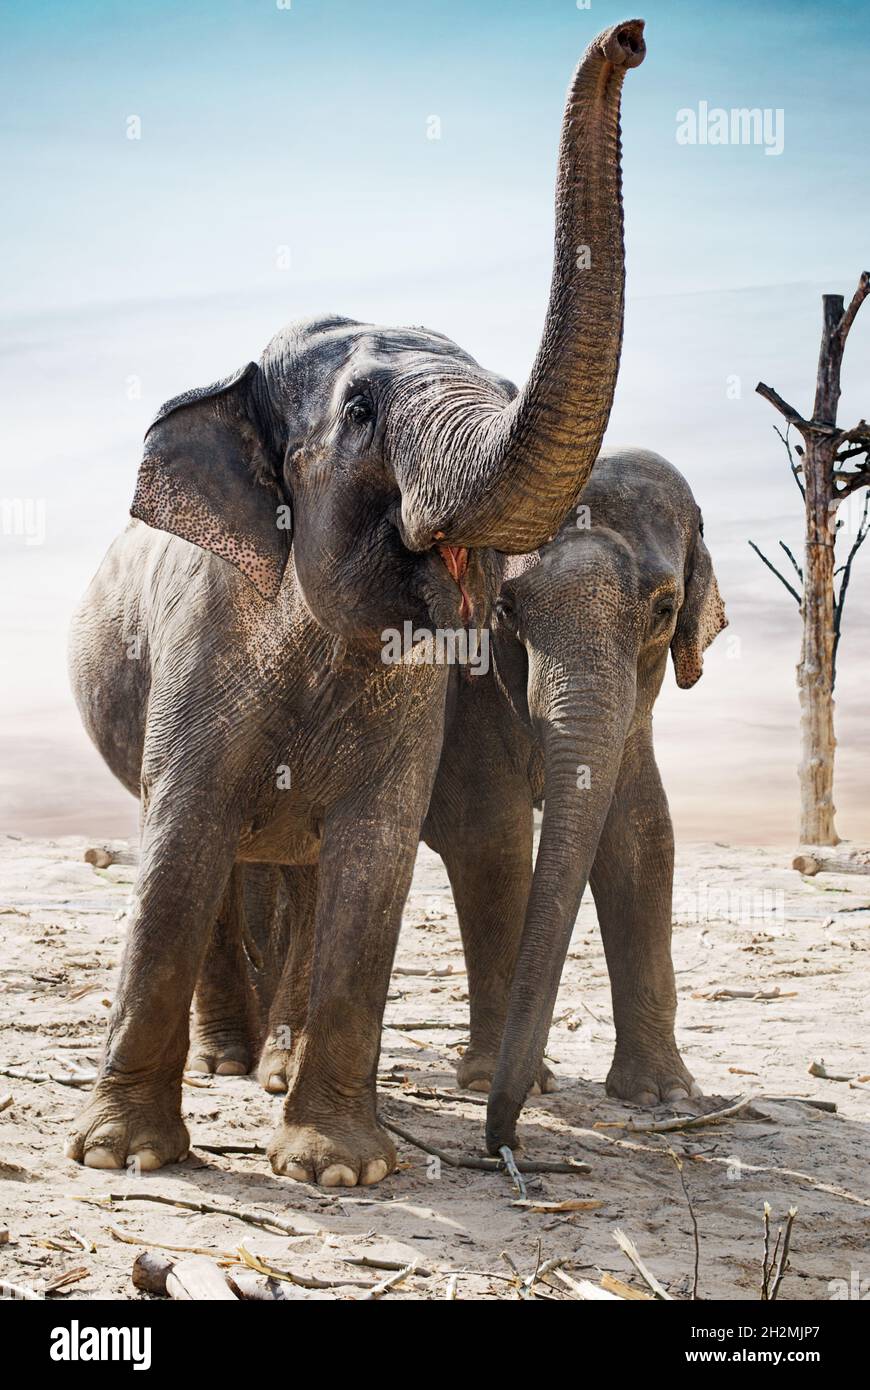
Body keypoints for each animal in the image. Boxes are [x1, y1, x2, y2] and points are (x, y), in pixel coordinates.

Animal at [65, 21, 647, 1186]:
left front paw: (337, 1168)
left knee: (296, 871)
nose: (630, 37)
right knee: (224, 864)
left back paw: (273, 1069)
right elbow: (181, 839)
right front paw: (124, 1159)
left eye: (494, 384)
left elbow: (374, 856)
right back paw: (230, 1066)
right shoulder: (201, 638)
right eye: (365, 409)